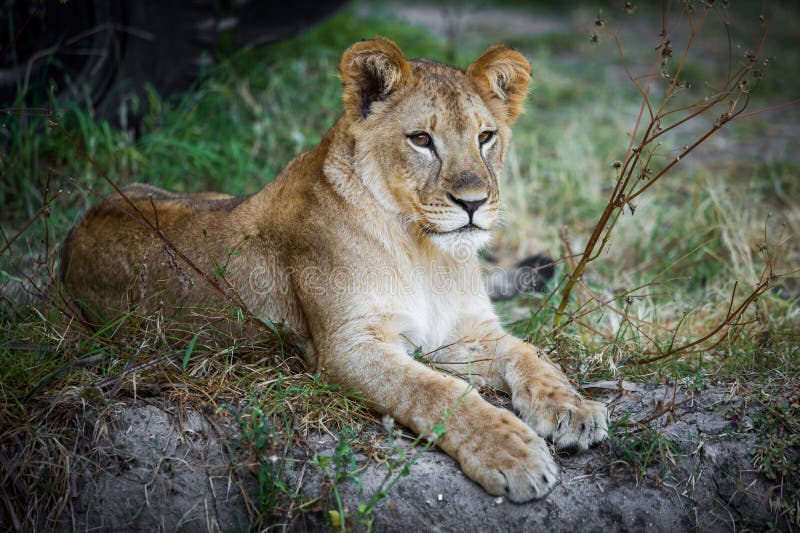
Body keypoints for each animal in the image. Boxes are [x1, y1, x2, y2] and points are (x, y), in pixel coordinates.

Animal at [61, 37, 608, 502]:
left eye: (486, 136)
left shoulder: (462, 331)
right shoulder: (347, 346)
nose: (473, 203)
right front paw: (512, 453)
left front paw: (573, 410)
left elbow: (531, 354)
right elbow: (437, 392)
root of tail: (75, 232)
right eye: (421, 139)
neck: (426, 254)